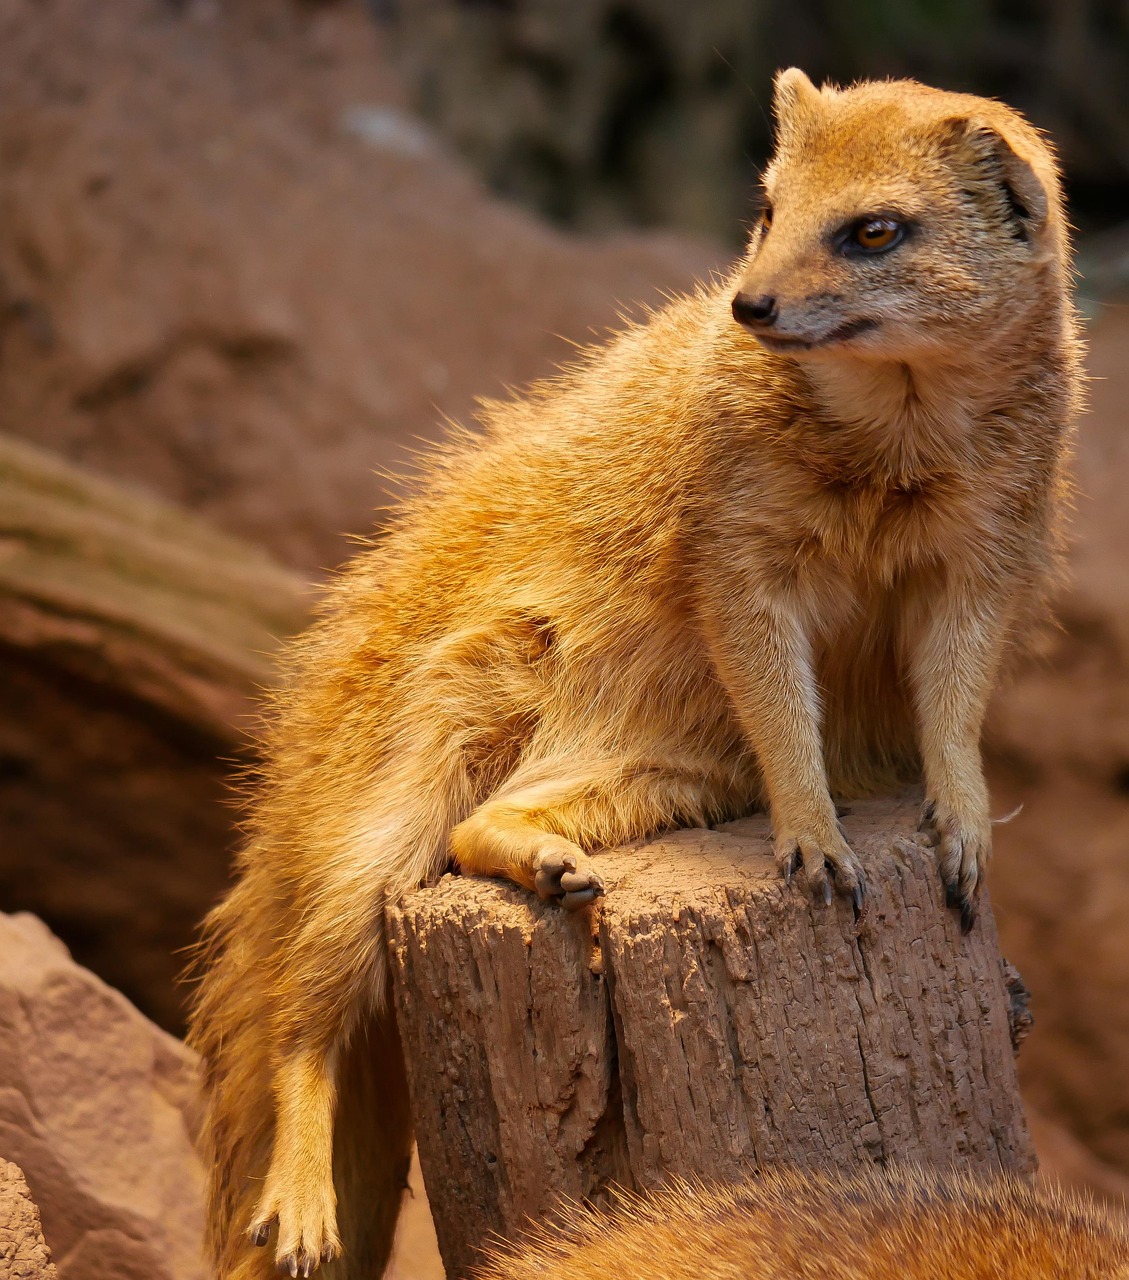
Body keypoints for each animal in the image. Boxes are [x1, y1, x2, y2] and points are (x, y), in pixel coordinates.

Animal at [188, 68, 1083, 1279]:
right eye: (767, 209)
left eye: (874, 230)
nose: (751, 306)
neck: (891, 451)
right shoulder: (732, 541)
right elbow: (767, 676)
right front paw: (815, 838)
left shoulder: (989, 549)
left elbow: (954, 686)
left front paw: (962, 826)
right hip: (404, 749)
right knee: (314, 980)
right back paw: (299, 1202)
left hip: (673, 766)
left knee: (480, 830)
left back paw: (550, 863)